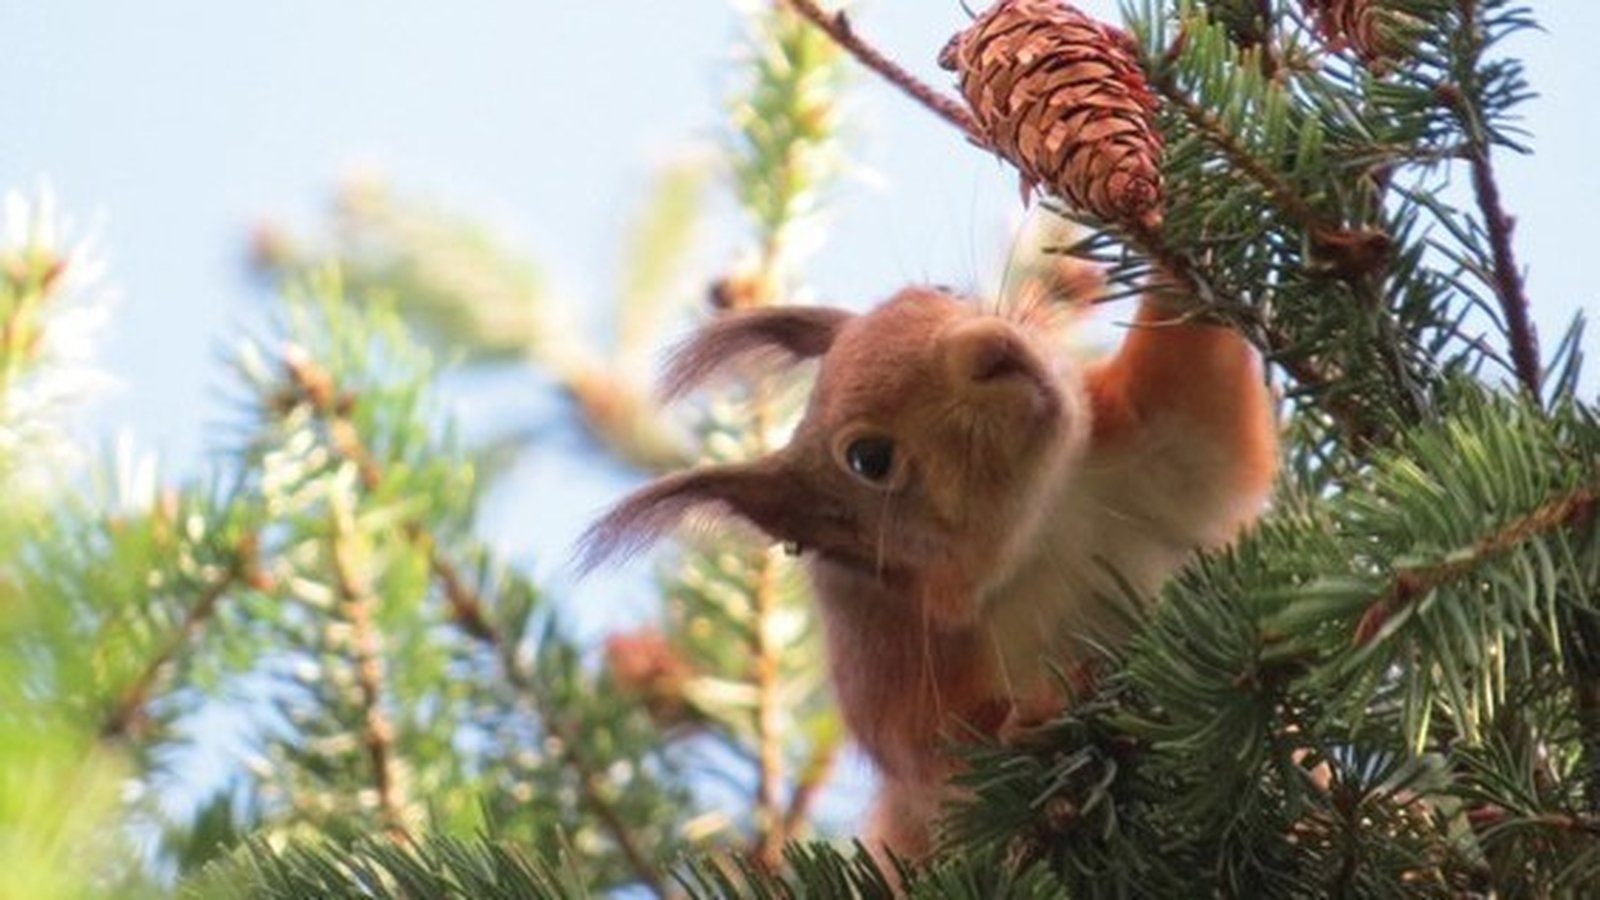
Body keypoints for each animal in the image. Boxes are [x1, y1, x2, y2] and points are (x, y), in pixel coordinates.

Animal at [581, 280, 1278, 858]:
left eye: (941, 292)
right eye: (869, 458)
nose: (989, 348)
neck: (1042, 532)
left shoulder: (1145, 447)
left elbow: (1206, 398)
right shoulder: (885, 658)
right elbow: (937, 765)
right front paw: (1032, 717)